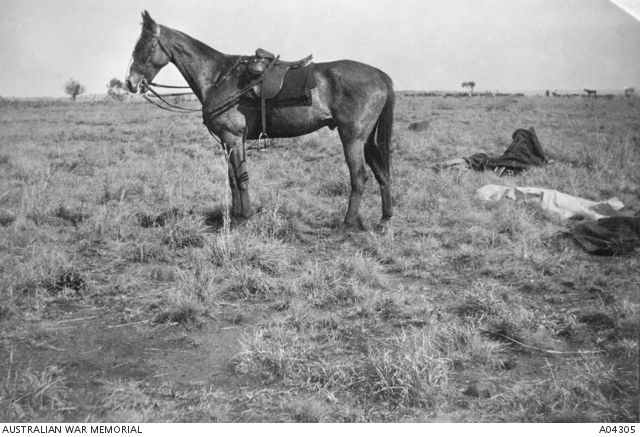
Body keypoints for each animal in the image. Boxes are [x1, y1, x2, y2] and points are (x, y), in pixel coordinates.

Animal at [125, 11, 395, 236]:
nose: (130, 82)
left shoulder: (233, 137)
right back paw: (384, 221)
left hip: (352, 138)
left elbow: (241, 177)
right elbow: (232, 178)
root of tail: (379, 74)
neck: (218, 77)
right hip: (366, 140)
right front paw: (234, 216)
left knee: (359, 177)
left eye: (146, 44)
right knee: (381, 173)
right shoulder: (227, 142)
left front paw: (244, 218)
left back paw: (345, 227)